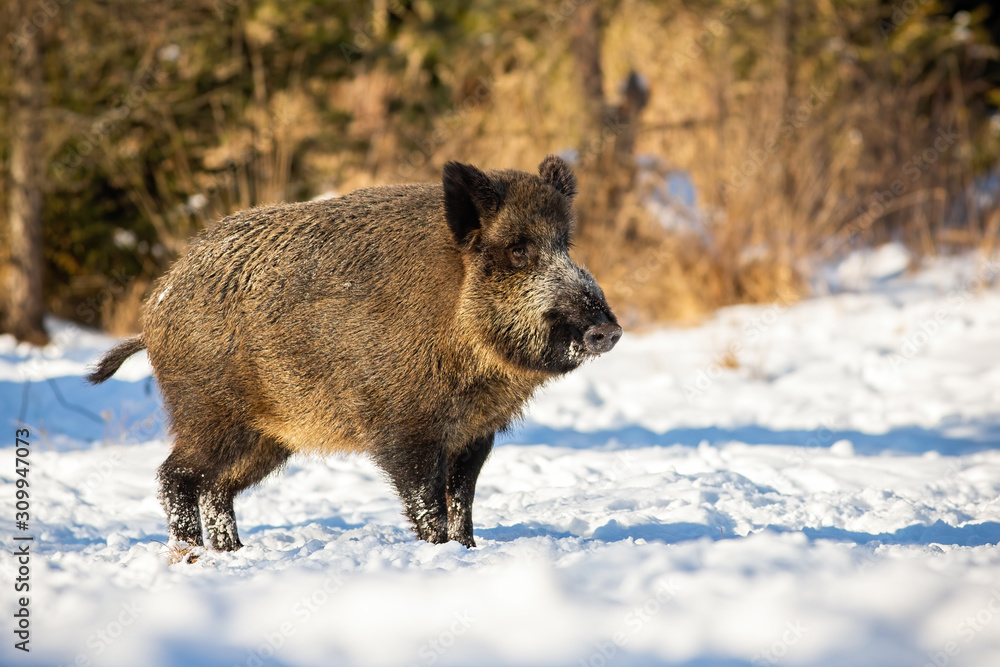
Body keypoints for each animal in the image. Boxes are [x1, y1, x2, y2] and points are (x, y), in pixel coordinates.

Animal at [87, 155, 621, 551]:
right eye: (518, 249)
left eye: (566, 244)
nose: (609, 331)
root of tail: (154, 311)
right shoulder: (407, 429)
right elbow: (429, 504)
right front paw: (441, 554)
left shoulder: (475, 436)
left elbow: (463, 502)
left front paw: (468, 551)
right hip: (210, 413)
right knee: (175, 476)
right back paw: (193, 554)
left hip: (267, 438)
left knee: (215, 488)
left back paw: (233, 552)